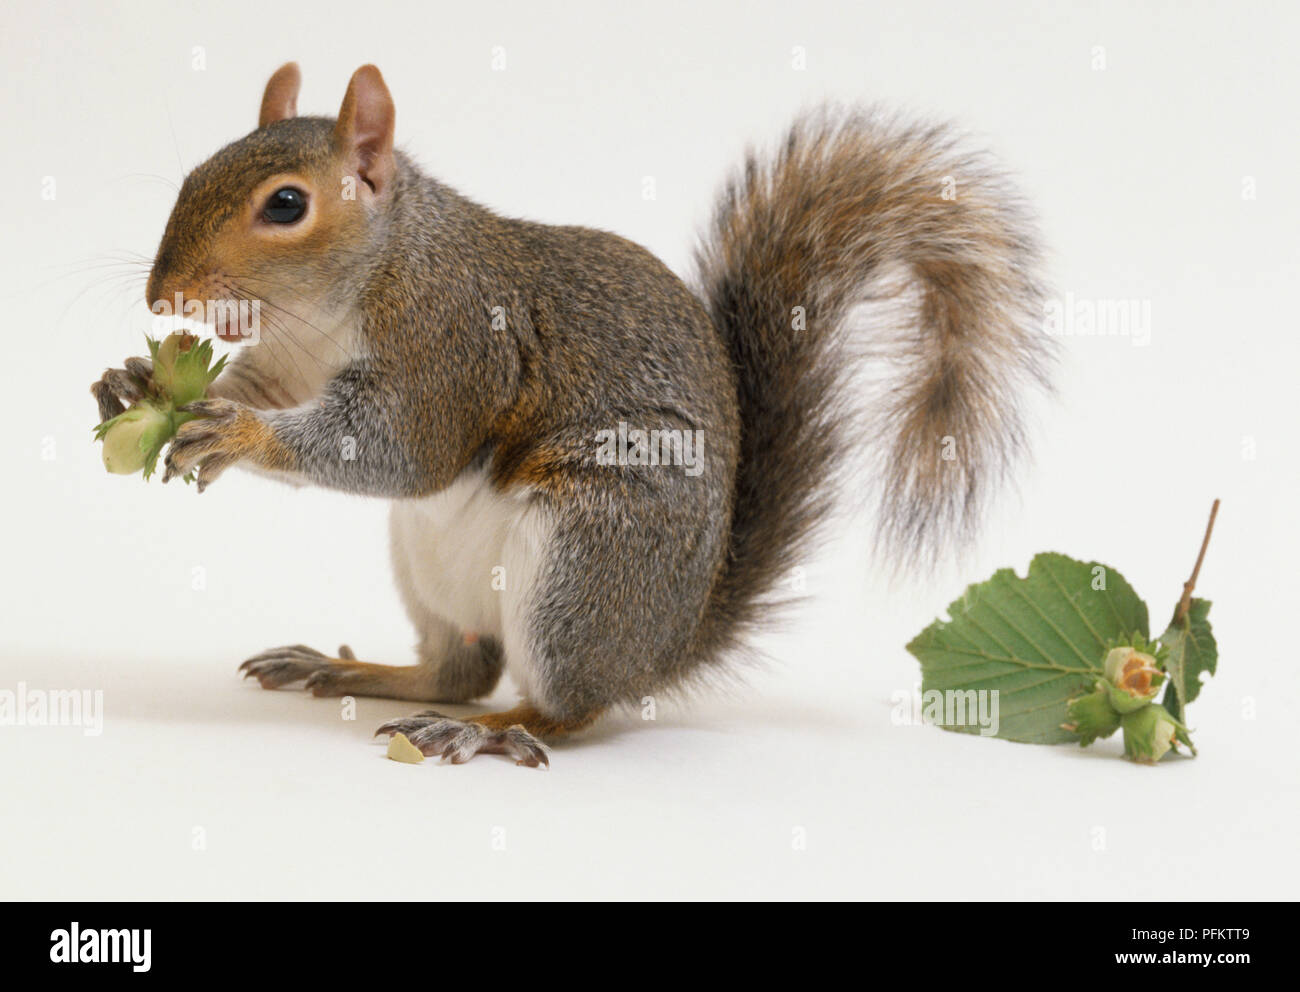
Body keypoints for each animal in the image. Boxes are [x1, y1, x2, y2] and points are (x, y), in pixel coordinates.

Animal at [92, 63, 1052, 767]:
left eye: (286, 204)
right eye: (196, 173)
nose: (162, 295)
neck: (352, 292)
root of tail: (662, 648)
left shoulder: (453, 346)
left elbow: (404, 450)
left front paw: (235, 432)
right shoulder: (292, 362)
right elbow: (259, 391)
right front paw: (139, 384)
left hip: (585, 562)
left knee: (564, 707)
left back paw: (488, 732)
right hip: (429, 565)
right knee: (462, 667)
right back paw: (354, 669)